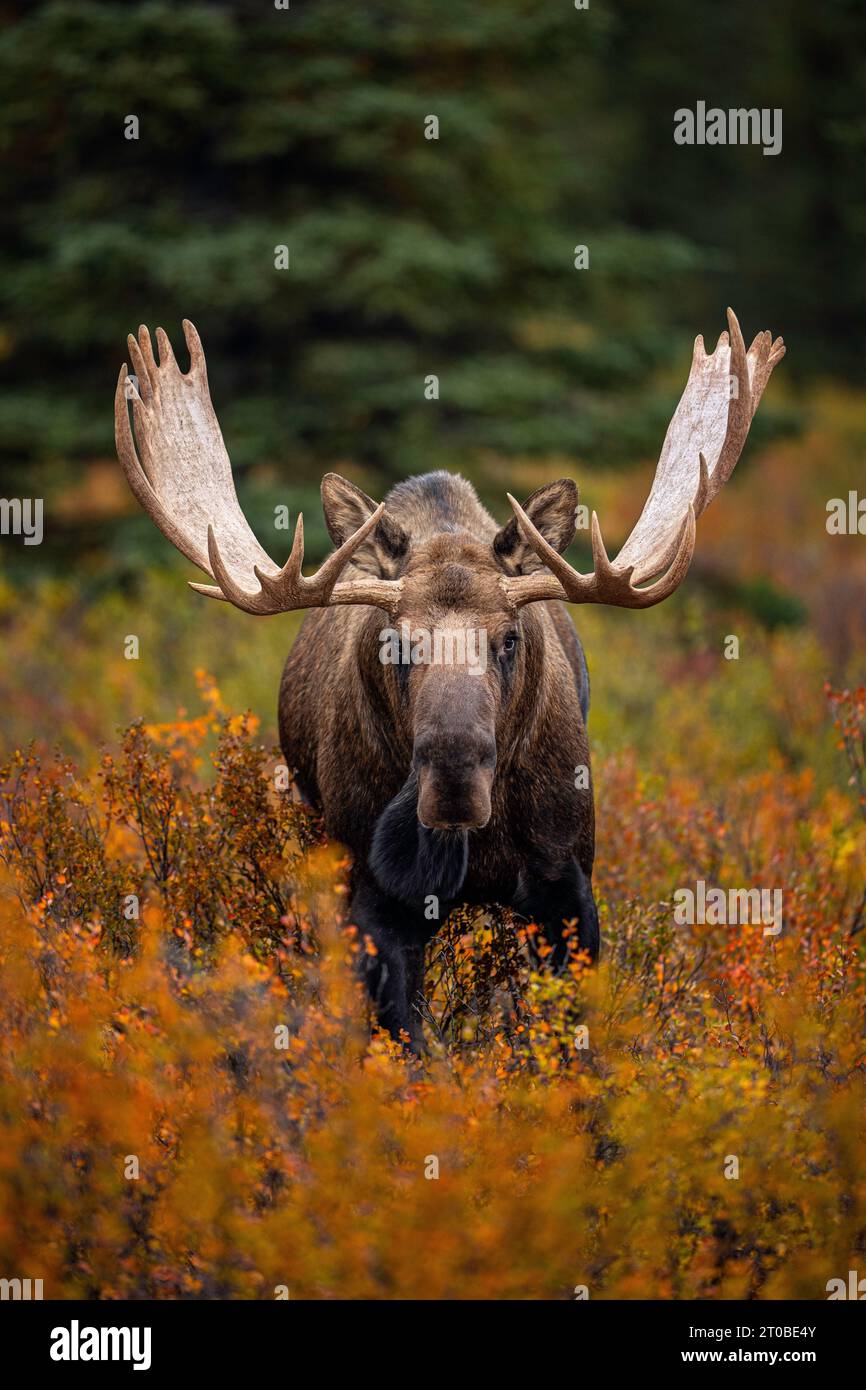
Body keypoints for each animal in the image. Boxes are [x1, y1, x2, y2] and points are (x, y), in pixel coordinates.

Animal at [115, 311, 784, 1050]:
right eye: (397, 640)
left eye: (510, 637)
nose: (455, 775)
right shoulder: (375, 898)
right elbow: (405, 1040)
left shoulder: (568, 885)